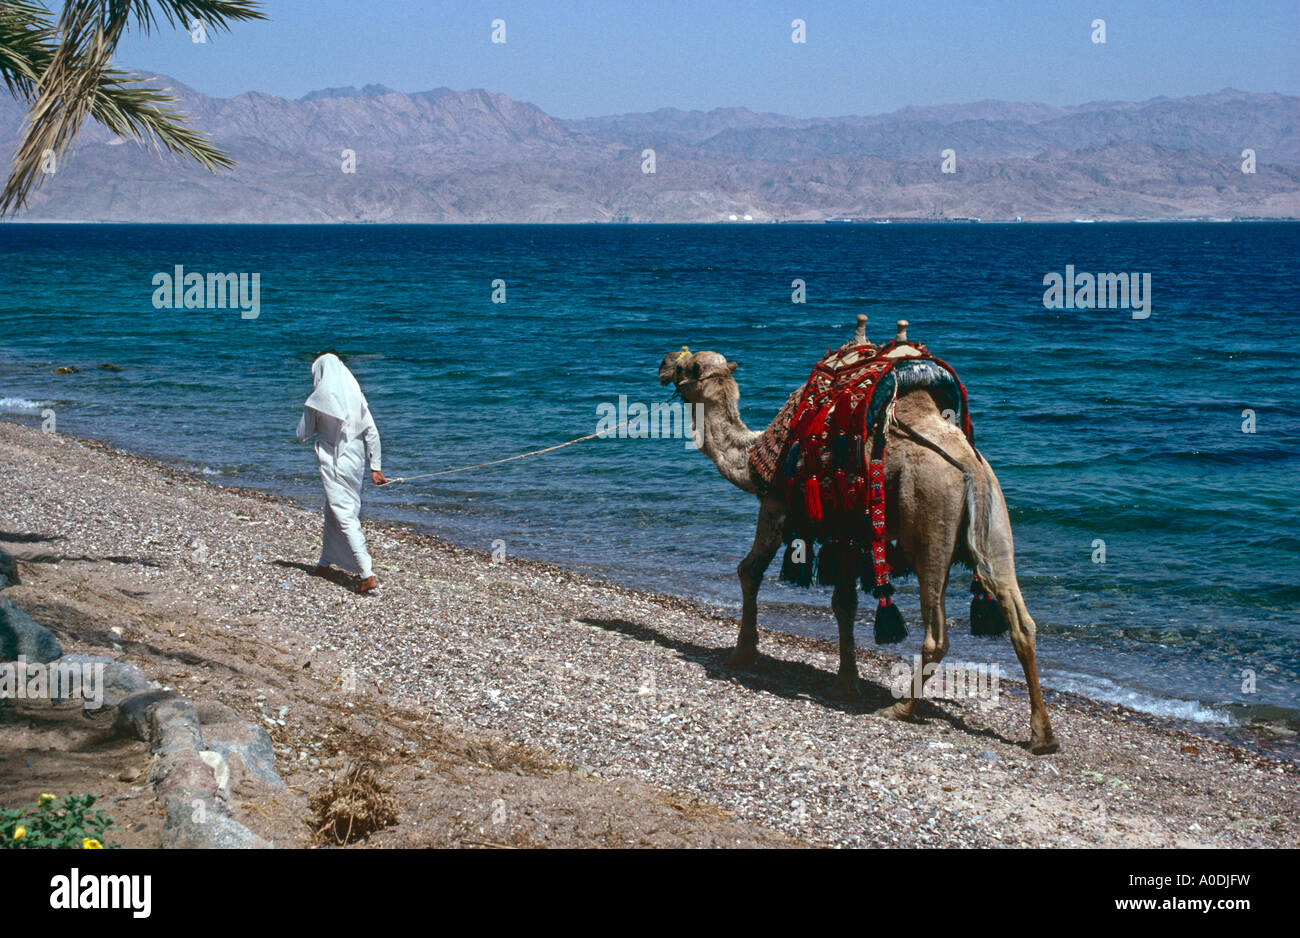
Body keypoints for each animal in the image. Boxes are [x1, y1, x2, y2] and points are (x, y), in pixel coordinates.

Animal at [657, 317, 1059, 754]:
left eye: (687, 366)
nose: (664, 363)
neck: (752, 455)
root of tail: (970, 466)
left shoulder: (777, 505)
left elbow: (750, 571)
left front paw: (743, 653)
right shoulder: (849, 529)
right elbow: (844, 604)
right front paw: (845, 682)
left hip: (931, 521)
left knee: (937, 634)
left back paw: (899, 709)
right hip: (996, 521)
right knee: (1022, 622)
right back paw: (1043, 735)